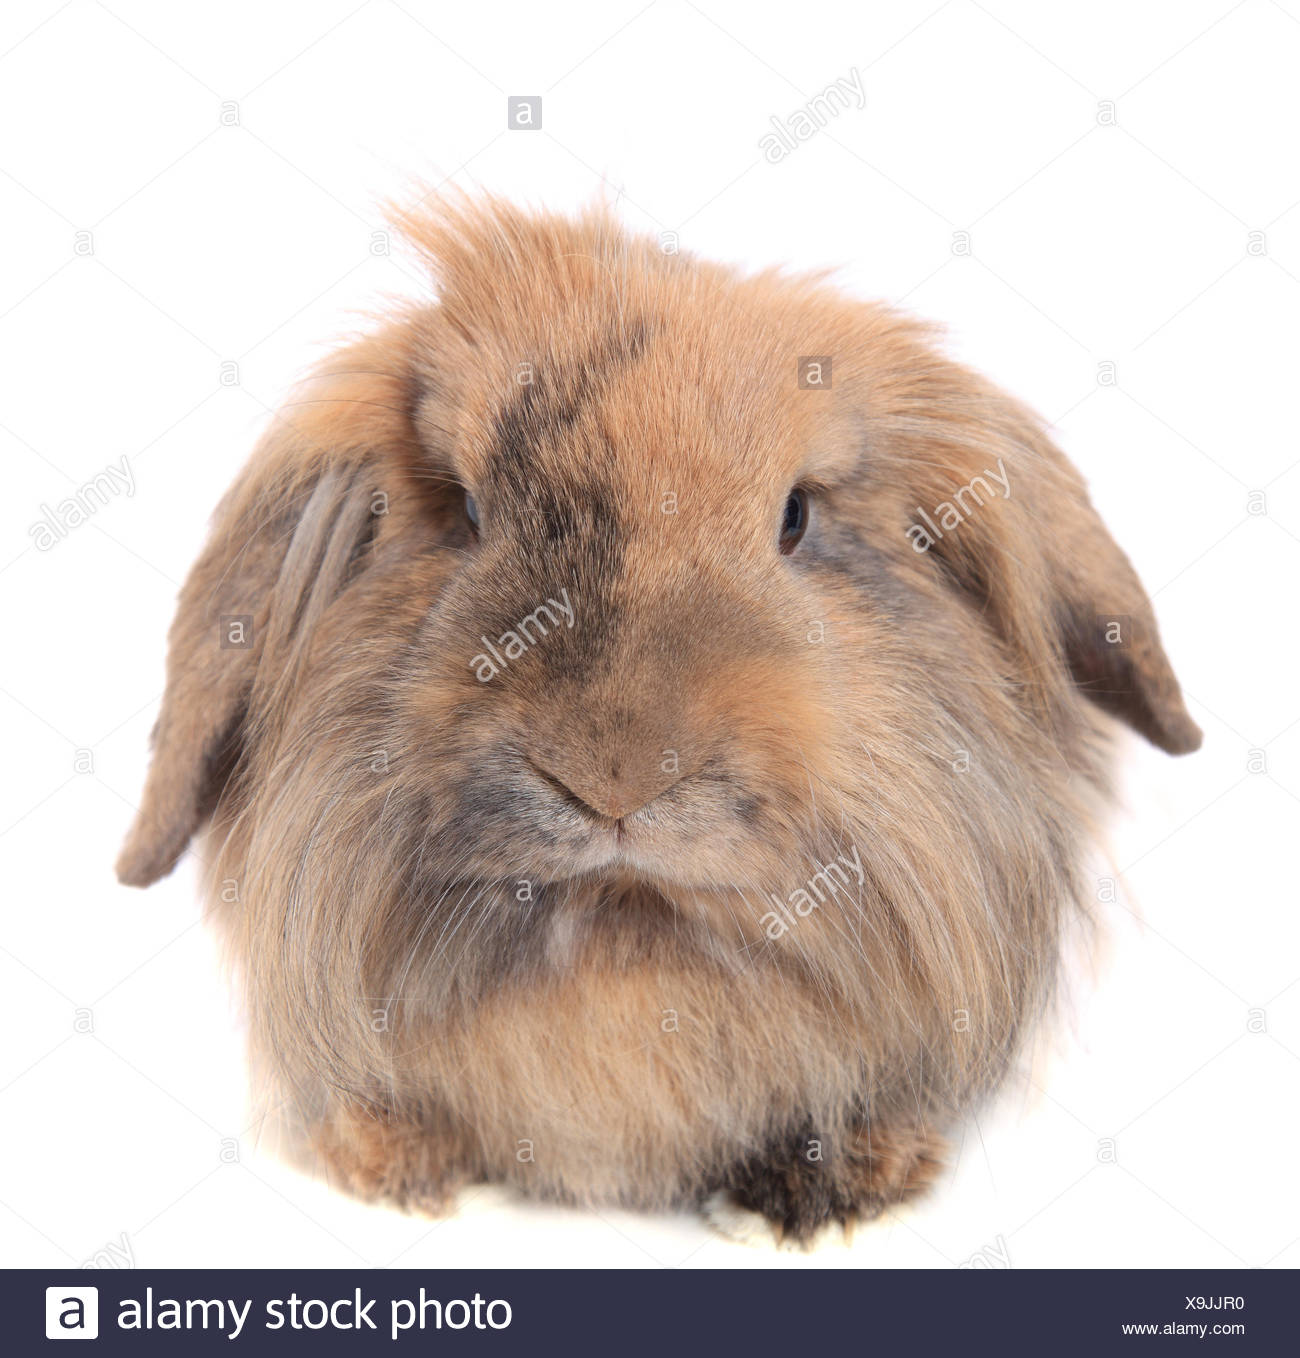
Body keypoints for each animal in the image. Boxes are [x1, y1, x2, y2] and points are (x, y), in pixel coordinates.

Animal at [116, 195, 1201, 1247]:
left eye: (796, 516)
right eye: (465, 511)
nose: (617, 772)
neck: (629, 930)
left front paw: (805, 1206)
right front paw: (402, 1175)